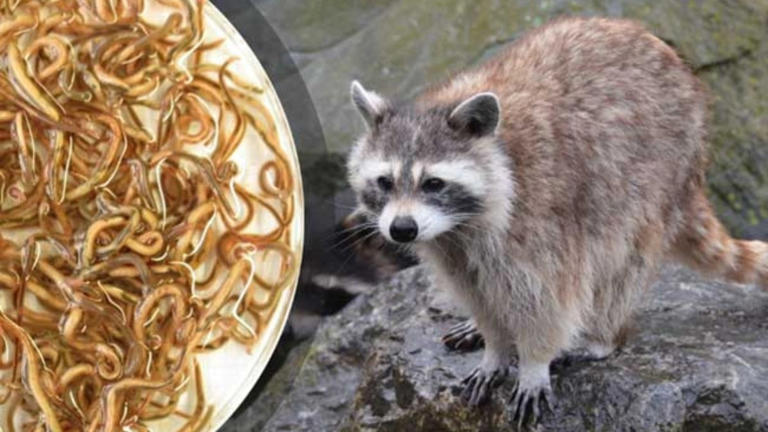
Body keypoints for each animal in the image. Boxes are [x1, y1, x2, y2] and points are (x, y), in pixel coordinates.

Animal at [346, 17, 768, 425]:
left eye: (433, 183)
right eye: (385, 182)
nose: (402, 230)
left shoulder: (539, 217)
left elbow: (548, 298)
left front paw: (533, 362)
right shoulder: (451, 248)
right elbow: (476, 293)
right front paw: (494, 344)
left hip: (657, 175)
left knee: (622, 265)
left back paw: (601, 339)